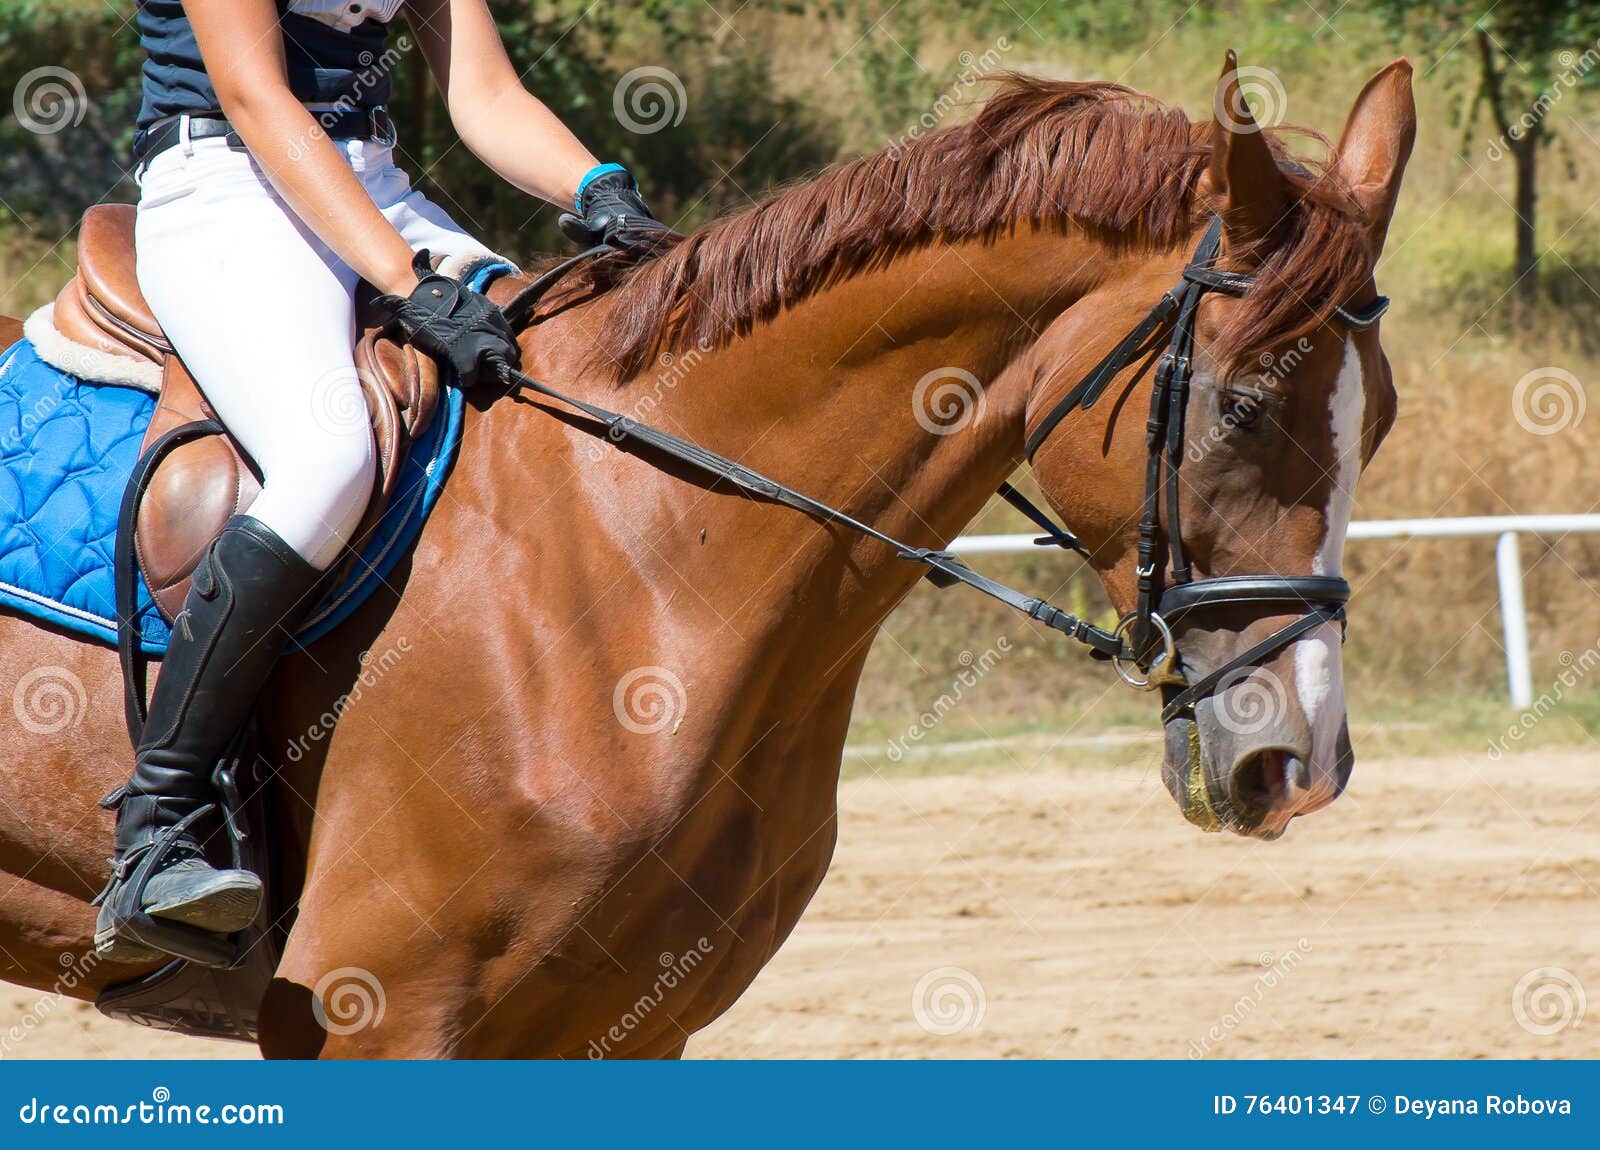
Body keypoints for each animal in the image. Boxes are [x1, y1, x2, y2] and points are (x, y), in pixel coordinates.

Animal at [0, 52, 1414, 1058]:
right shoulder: (377, 1011)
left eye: (1380, 420)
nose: (1301, 762)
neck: (642, 551)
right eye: (1241, 407)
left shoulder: (626, 1026)